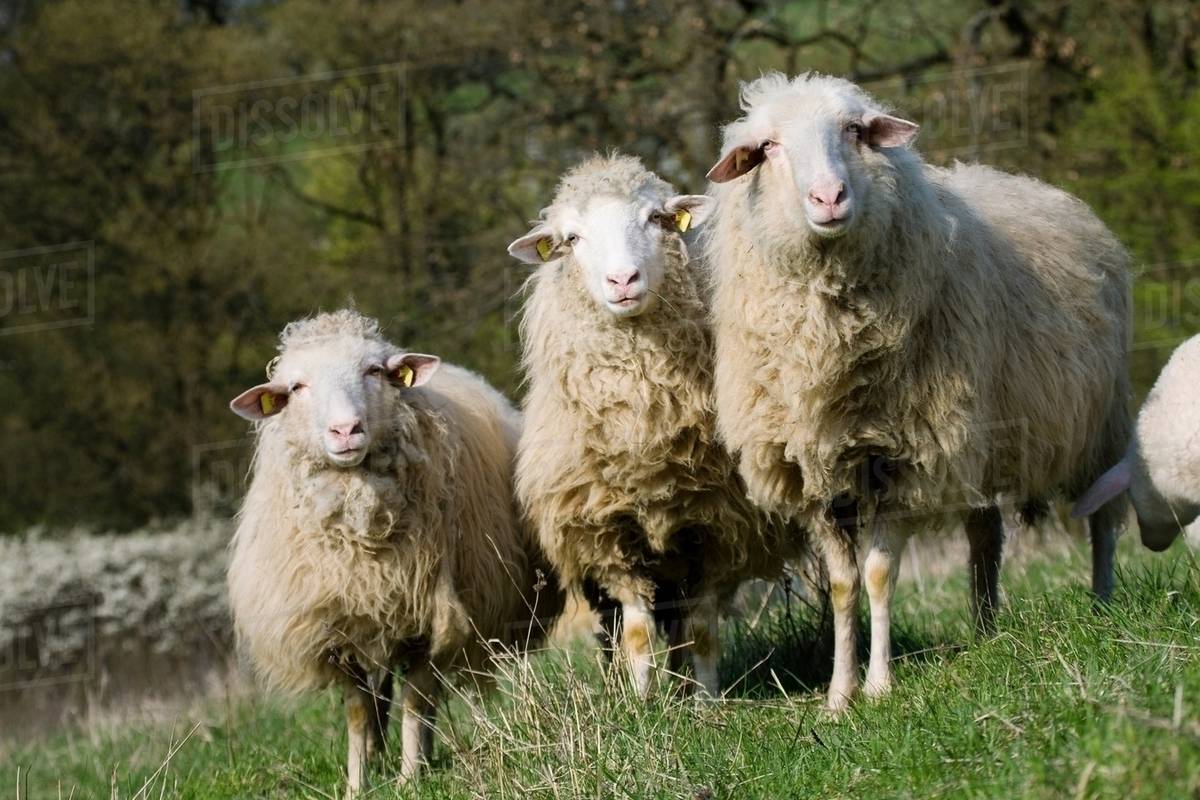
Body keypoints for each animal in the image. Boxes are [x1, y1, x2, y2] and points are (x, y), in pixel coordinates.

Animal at [226, 309, 561, 796]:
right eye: (297, 387)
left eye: (373, 370)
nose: (345, 430)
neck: (365, 543)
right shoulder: (338, 628)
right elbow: (357, 711)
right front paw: (357, 782)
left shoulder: (427, 616)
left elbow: (416, 701)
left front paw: (409, 777)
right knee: (379, 696)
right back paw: (377, 751)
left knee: (421, 694)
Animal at [507, 153, 803, 697]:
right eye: (572, 238)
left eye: (656, 219)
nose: (623, 280)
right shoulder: (609, 539)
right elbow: (639, 635)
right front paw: (643, 704)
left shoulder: (717, 530)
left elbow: (702, 630)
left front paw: (707, 701)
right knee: (616, 634)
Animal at [702, 73, 1132, 711]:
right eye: (769, 147)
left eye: (855, 131)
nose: (829, 198)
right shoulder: (815, 474)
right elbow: (842, 586)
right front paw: (839, 695)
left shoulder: (907, 459)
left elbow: (879, 576)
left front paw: (879, 687)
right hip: (981, 439)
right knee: (985, 534)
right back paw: (985, 631)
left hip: (1099, 422)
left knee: (1101, 516)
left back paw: (1101, 605)